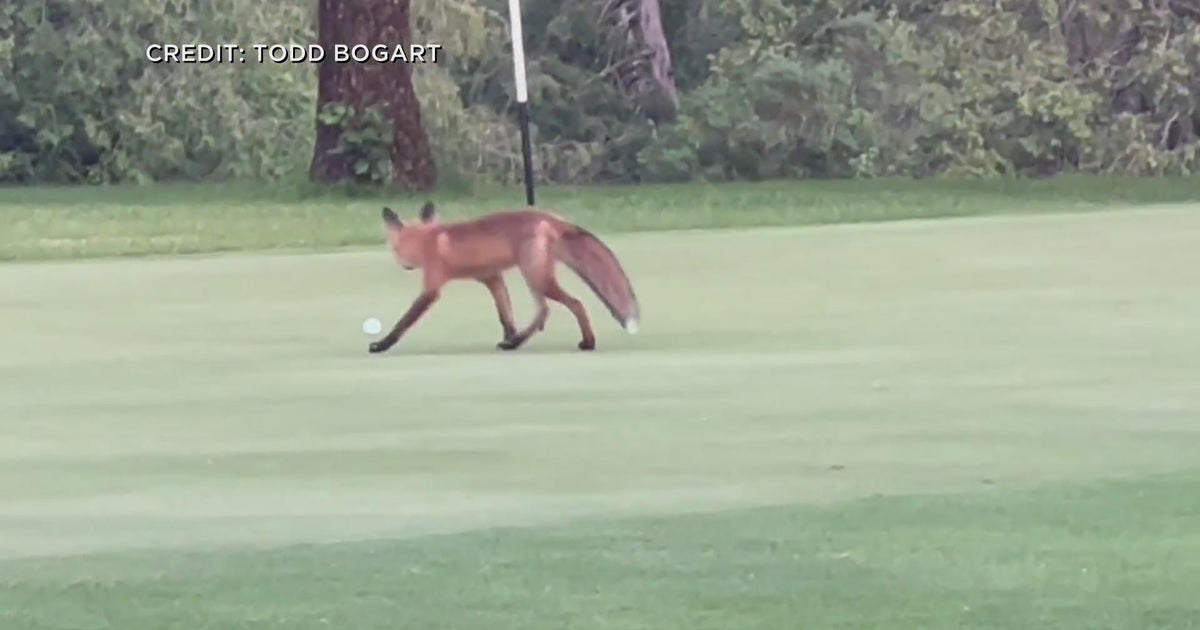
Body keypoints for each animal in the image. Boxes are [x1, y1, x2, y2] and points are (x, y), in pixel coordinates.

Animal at [367, 201, 640, 354]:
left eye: (396, 249)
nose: (404, 265)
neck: (428, 240)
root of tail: (552, 217)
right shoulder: (492, 278)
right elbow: (505, 316)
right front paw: (510, 337)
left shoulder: (432, 287)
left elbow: (404, 322)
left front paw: (382, 344)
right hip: (533, 277)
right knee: (543, 313)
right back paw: (516, 343)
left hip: (538, 278)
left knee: (575, 304)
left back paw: (588, 342)